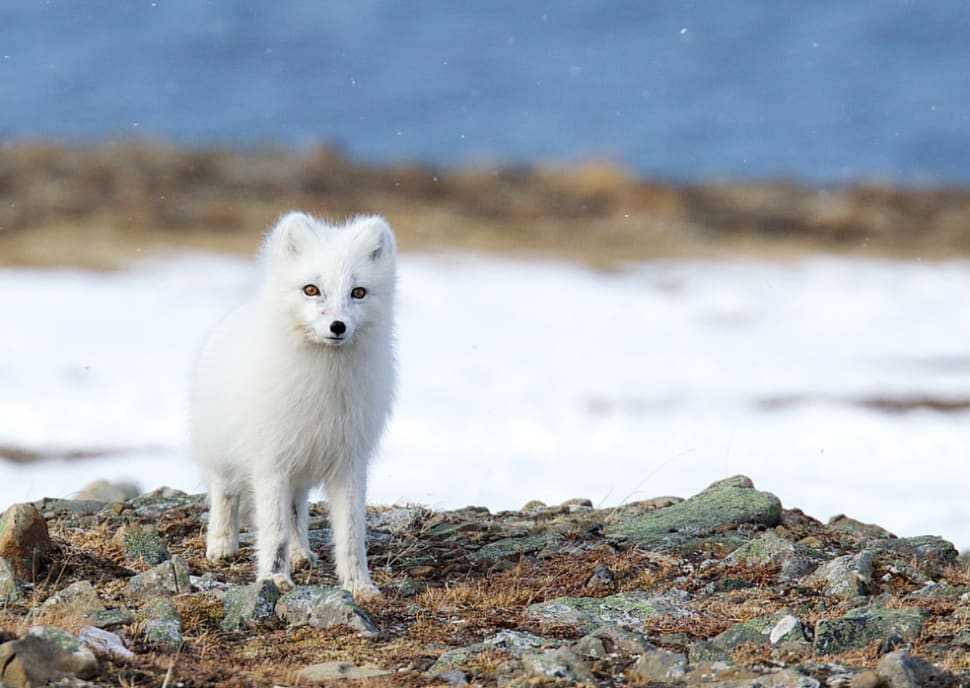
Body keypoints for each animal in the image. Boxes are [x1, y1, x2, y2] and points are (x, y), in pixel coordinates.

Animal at [190, 211, 396, 599]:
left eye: (358, 292)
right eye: (311, 289)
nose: (337, 326)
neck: (325, 384)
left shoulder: (350, 462)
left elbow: (350, 533)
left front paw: (358, 585)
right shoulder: (271, 463)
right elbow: (274, 528)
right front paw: (273, 579)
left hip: (301, 468)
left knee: (297, 511)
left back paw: (302, 554)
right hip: (225, 457)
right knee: (225, 496)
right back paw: (222, 545)